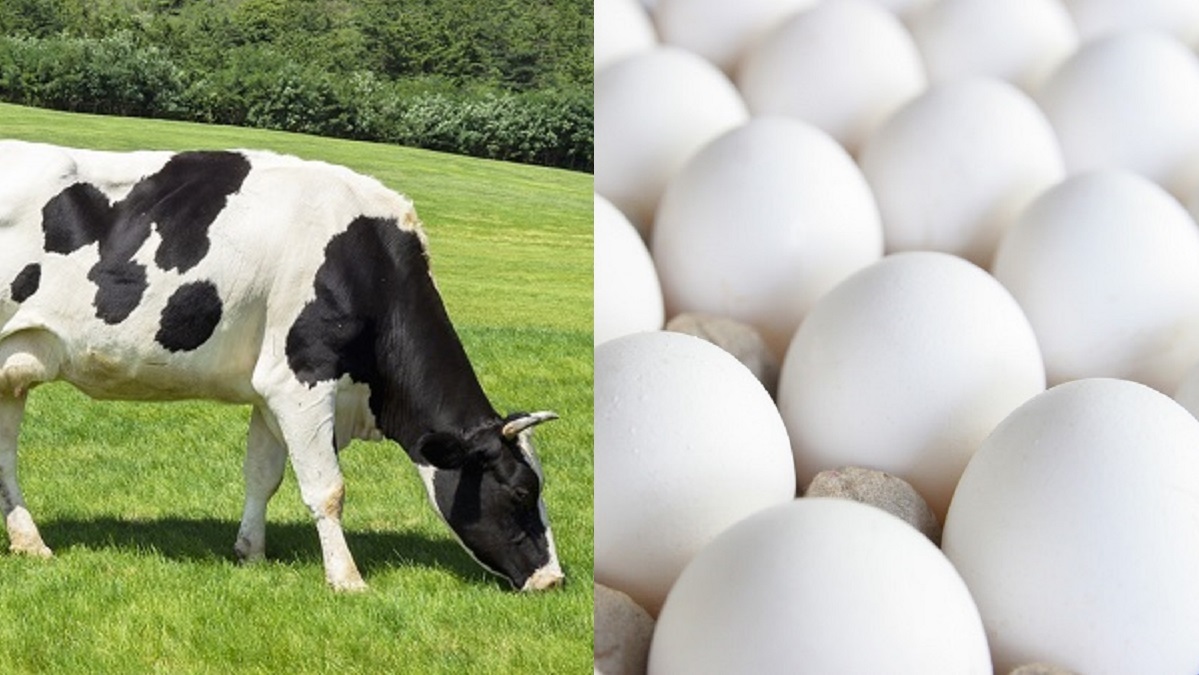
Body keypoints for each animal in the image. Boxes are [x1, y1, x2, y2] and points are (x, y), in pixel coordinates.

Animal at [0, 140, 565, 592]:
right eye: (521, 490)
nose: (553, 579)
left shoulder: (268, 390)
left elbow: (261, 475)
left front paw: (250, 553)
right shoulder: (302, 378)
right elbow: (327, 489)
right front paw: (347, 580)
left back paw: (30, 543)